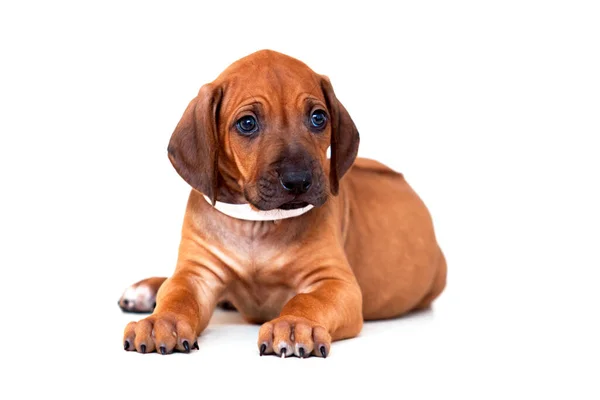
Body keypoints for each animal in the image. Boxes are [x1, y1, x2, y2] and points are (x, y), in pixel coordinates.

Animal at [119, 48, 446, 358]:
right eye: (247, 123)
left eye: (318, 118)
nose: (298, 180)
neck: (258, 224)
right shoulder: (197, 273)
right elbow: (178, 293)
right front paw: (162, 321)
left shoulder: (336, 282)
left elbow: (307, 298)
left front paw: (294, 324)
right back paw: (147, 291)